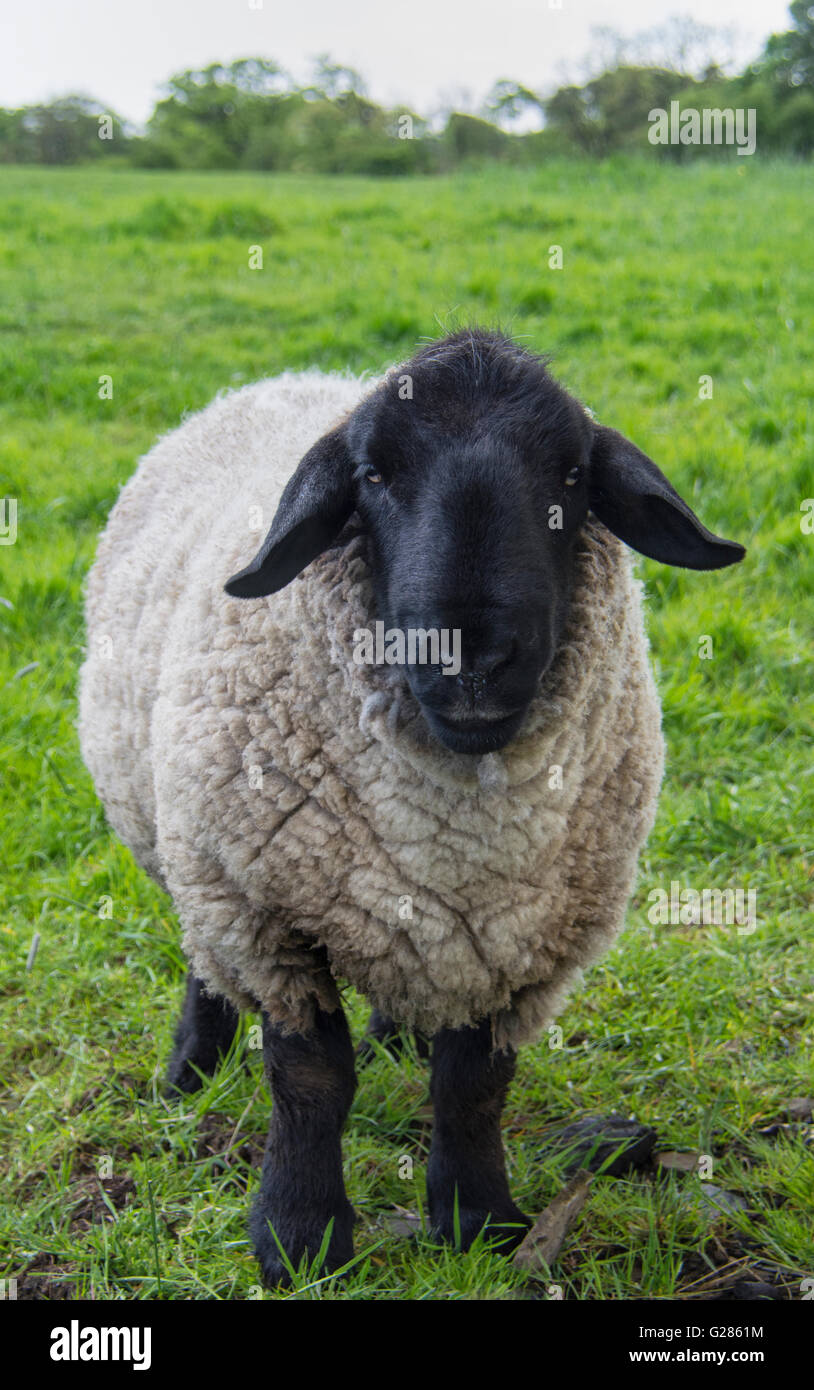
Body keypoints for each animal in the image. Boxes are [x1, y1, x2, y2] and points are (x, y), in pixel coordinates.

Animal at [78, 328, 745, 1284]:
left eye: (572, 475)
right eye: (371, 475)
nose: (469, 654)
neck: (455, 833)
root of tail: (290, 377)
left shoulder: (525, 946)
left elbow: (472, 1087)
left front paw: (480, 1222)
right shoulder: (264, 915)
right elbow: (310, 1080)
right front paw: (299, 1237)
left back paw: (394, 1036)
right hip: (194, 857)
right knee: (206, 964)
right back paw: (190, 1073)